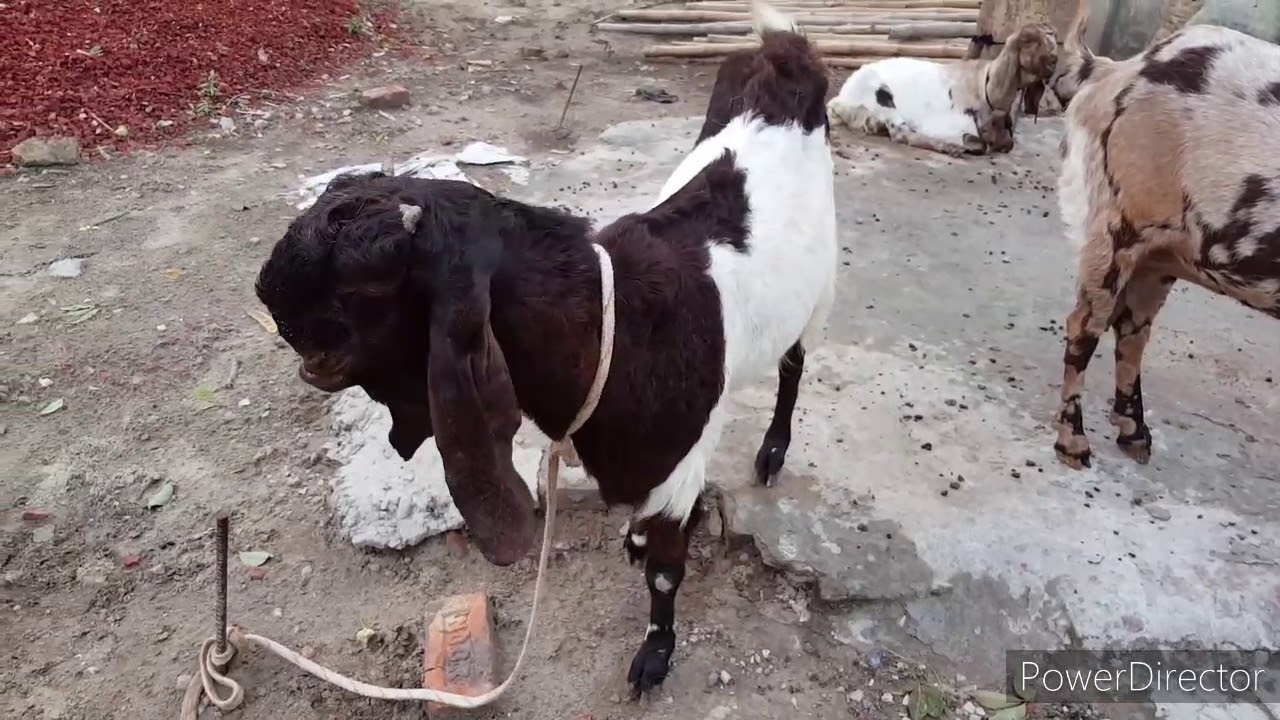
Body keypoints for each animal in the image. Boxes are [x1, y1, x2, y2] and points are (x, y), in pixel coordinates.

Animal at [253, 0, 836, 697]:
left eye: (371, 274)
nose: (265, 290)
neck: (616, 330)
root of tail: (784, 53)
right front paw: (637, 545)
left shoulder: (673, 466)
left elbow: (666, 570)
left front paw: (655, 654)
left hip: (817, 296)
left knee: (794, 367)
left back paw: (773, 451)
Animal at [825, 22, 1059, 156]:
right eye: (1032, 43)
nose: (1054, 61)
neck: (985, 85)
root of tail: (840, 99)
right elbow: (977, 141)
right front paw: (966, 143)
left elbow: (1007, 143)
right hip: (881, 98)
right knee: (901, 133)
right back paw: (950, 147)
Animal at [1047, 8, 1280, 469]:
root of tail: (1118, 70)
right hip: (1117, 223)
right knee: (1086, 324)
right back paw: (1074, 444)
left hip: (1163, 251)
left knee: (1132, 326)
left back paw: (1134, 435)